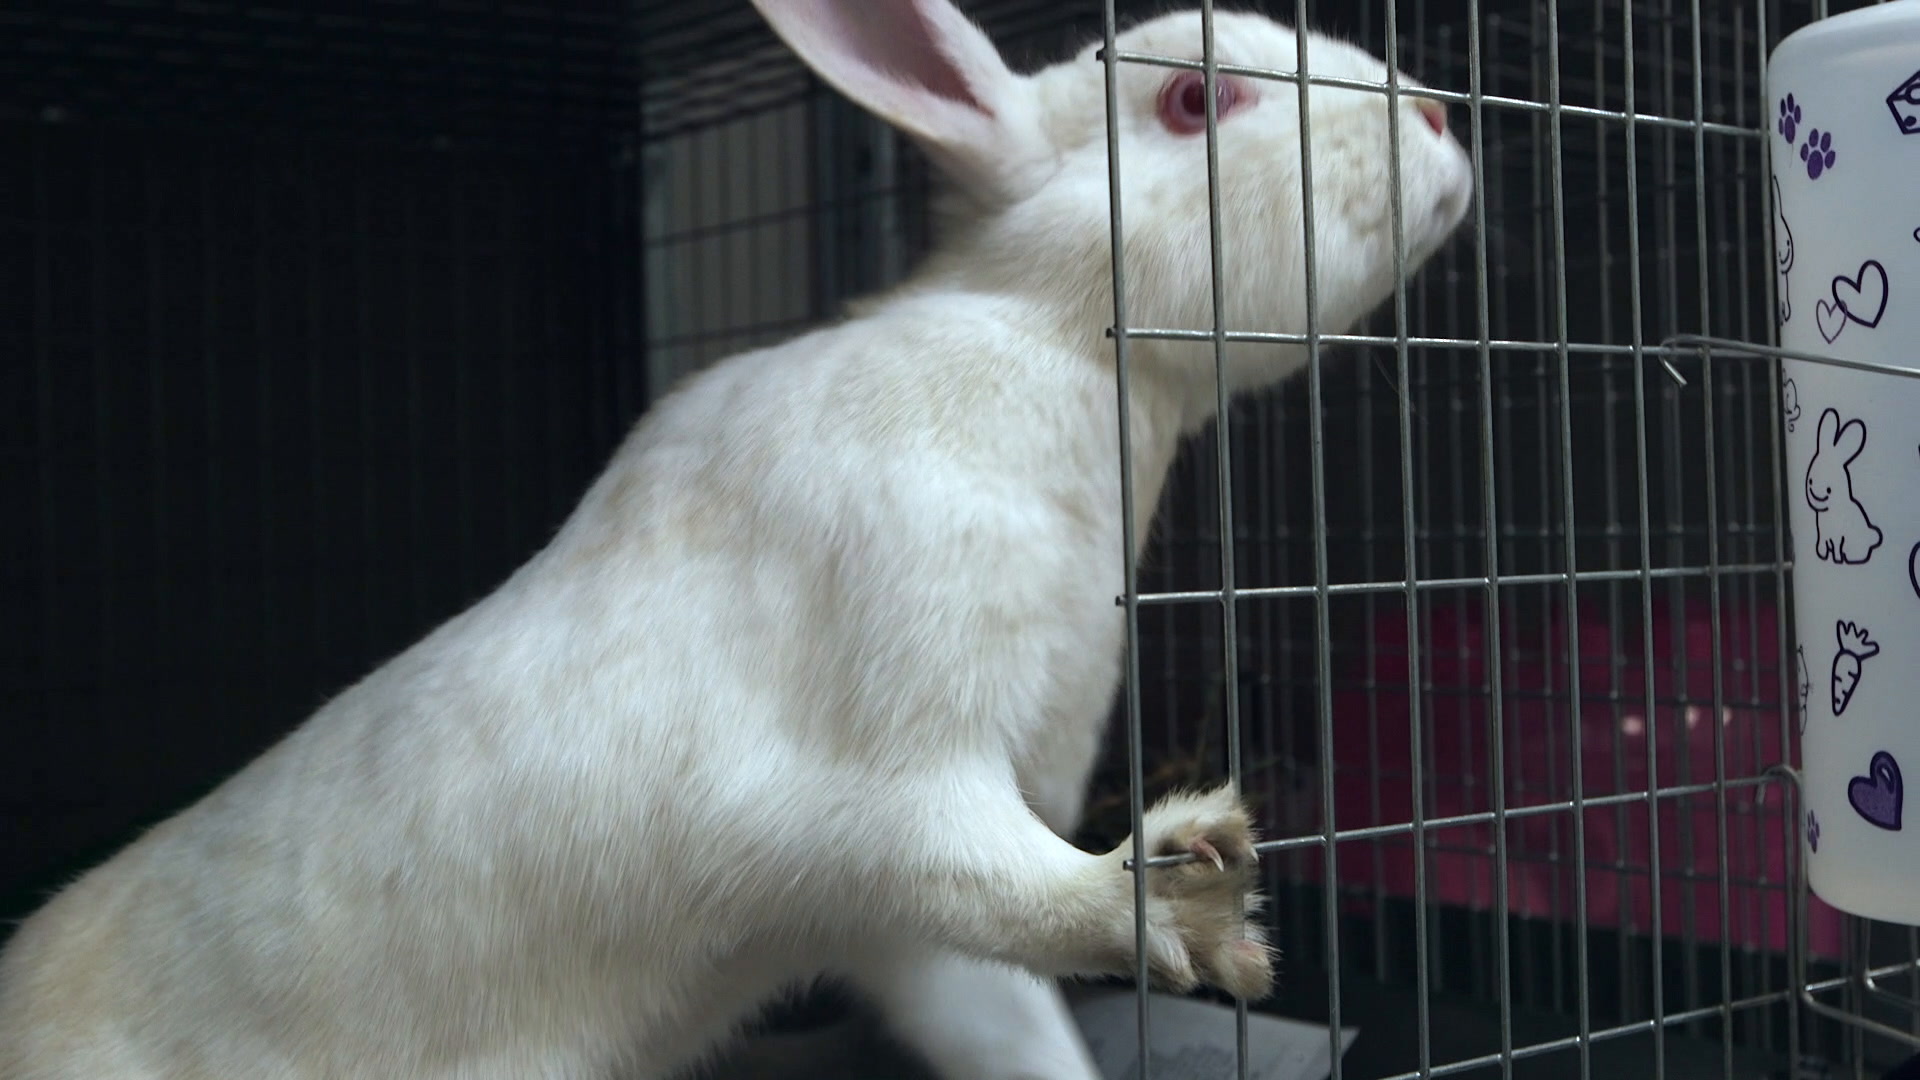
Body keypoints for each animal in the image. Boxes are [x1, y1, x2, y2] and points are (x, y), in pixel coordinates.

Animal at [0, 2, 1474, 1078]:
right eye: (1192, 101)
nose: (1444, 116)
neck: (1051, 338)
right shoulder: (890, 765)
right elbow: (997, 879)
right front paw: (1190, 901)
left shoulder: (901, 933)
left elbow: (1000, 1017)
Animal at [1806, 406, 1882, 566]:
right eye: (1810, 481)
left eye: (1829, 490)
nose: (1817, 495)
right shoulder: (1823, 534)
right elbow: (1821, 544)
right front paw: (1823, 553)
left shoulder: (1837, 536)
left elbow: (1835, 547)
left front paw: (1837, 558)